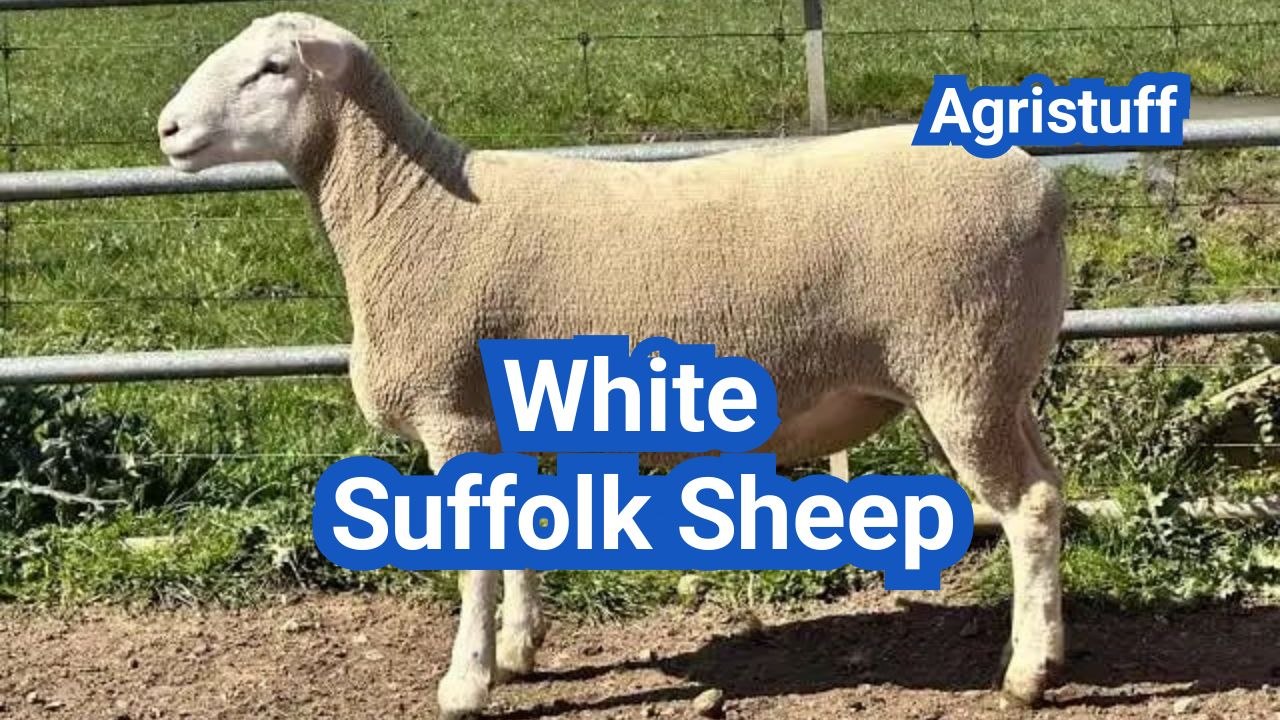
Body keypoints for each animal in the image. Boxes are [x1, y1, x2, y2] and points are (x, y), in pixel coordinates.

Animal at [158, 12, 1069, 718]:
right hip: (1001, 375)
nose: (165, 128)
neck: (410, 208)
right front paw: (519, 650)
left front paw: (465, 682)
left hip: (958, 371)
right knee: (1050, 492)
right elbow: (516, 538)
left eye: (273, 67)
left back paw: (1026, 676)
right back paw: (1045, 650)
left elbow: (474, 558)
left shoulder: (455, 415)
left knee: (1024, 508)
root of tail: (1044, 187)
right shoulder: (506, 419)